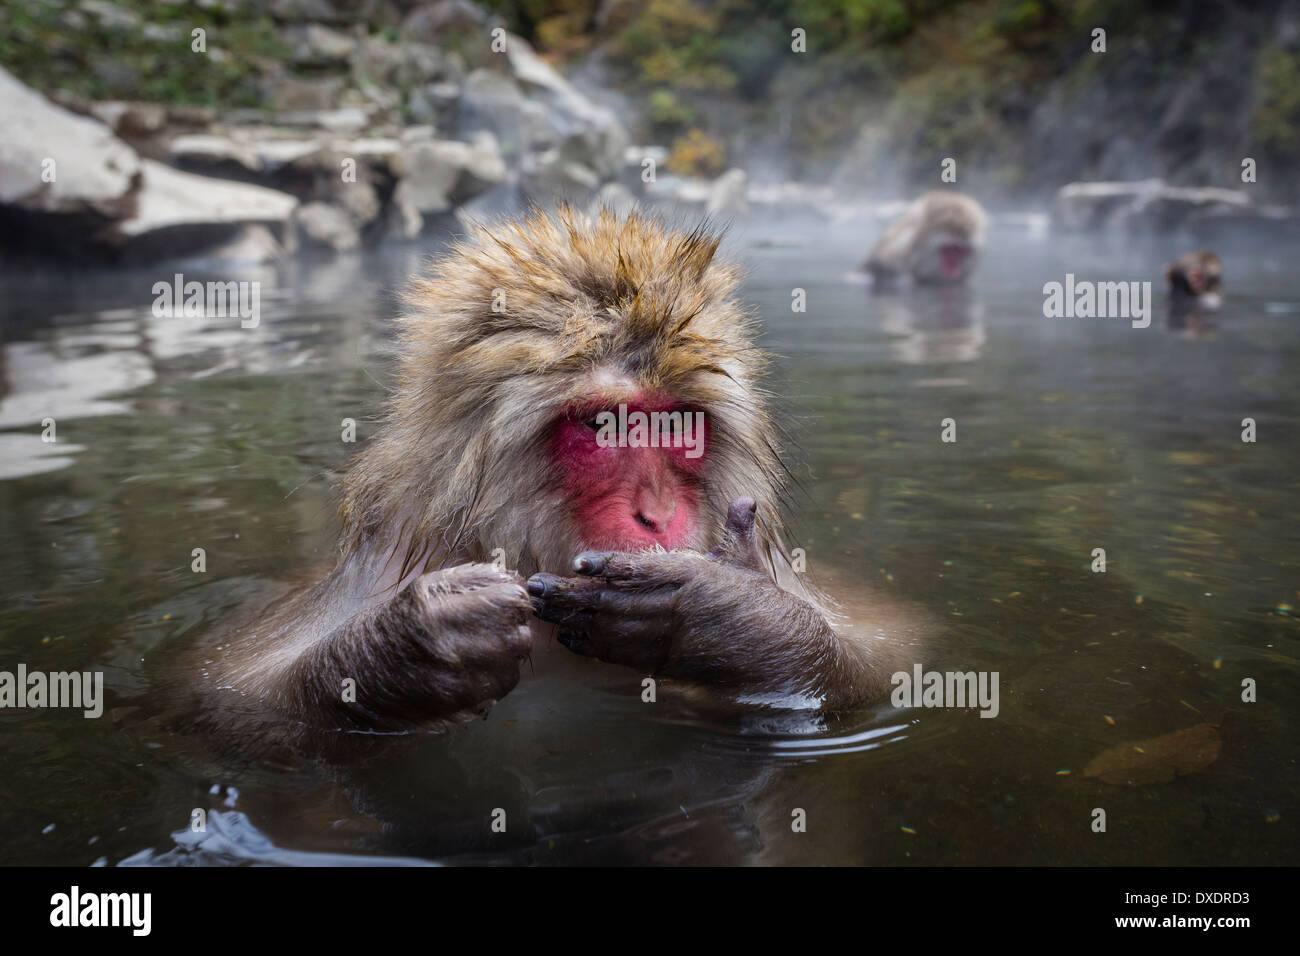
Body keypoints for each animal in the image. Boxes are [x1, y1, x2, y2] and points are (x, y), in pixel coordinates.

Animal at [194, 206, 899, 748]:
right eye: (601, 426)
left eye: (677, 424)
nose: (656, 513)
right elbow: (231, 703)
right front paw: (421, 642)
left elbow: (887, 667)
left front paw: (715, 613)